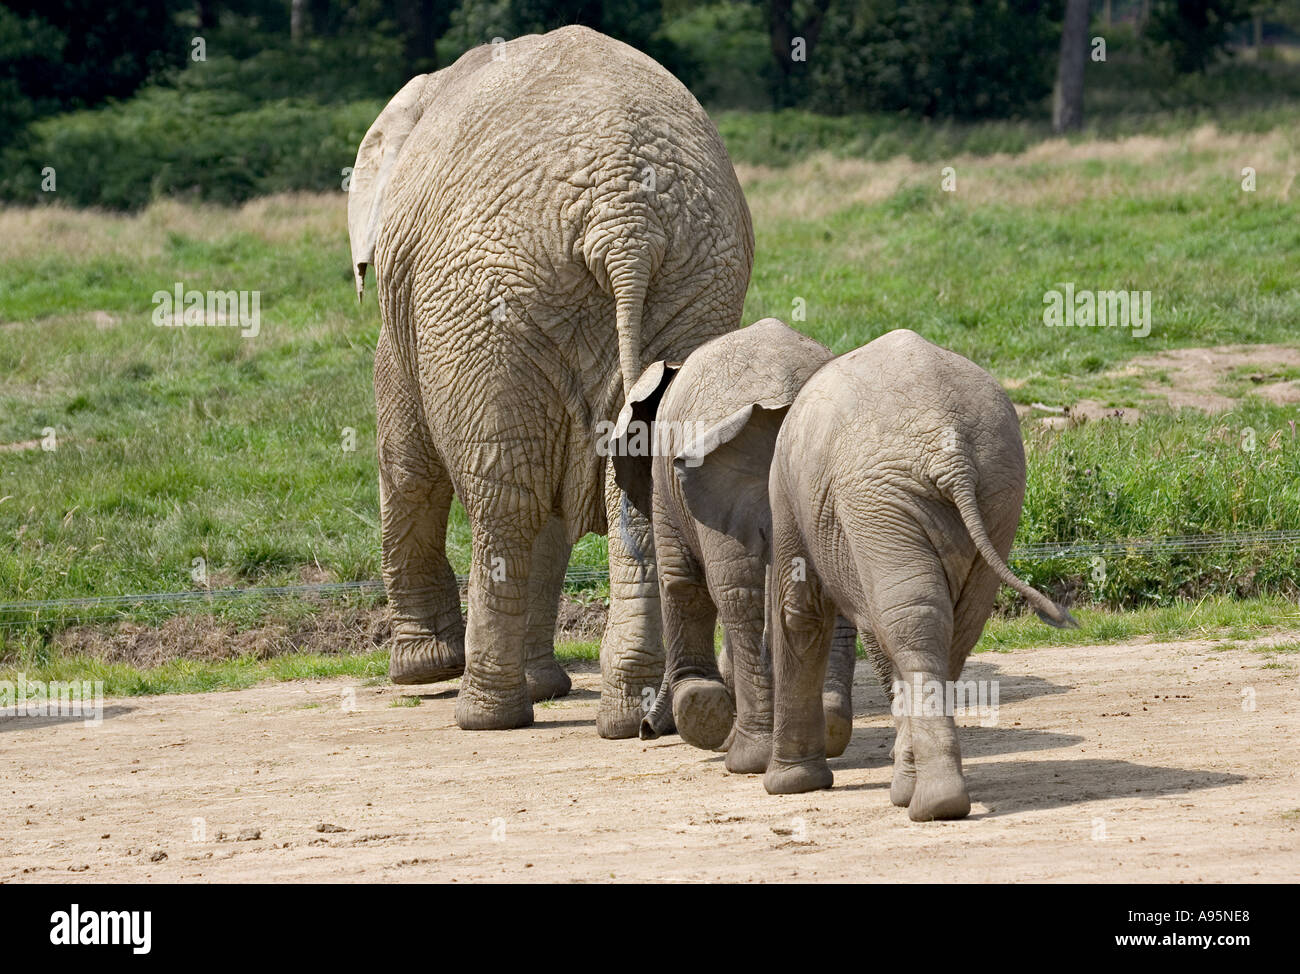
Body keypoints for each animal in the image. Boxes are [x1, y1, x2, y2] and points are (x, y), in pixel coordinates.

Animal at [347, 26, 754, 734]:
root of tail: (625, 223)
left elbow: (406, 457)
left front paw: (420, 671)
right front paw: (546, 687)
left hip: (488, 305)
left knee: (506, 500)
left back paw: (484, 714)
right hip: (692, 289)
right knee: (634, 486)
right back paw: (639, 713)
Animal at [610, 318, 890, 773]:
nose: (646, 730)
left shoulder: (666, 483)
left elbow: (680, 581)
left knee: (738, 594)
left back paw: (746, 755)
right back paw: (823, 733)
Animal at [675, 329, 1075, 820]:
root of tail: (952, 454)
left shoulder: (787, 491)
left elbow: (798, 614)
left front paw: (788, 786)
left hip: (885, 499)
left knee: (907, 620)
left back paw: (921, 797)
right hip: (987, 494)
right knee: (944, 623)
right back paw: (933, 798)